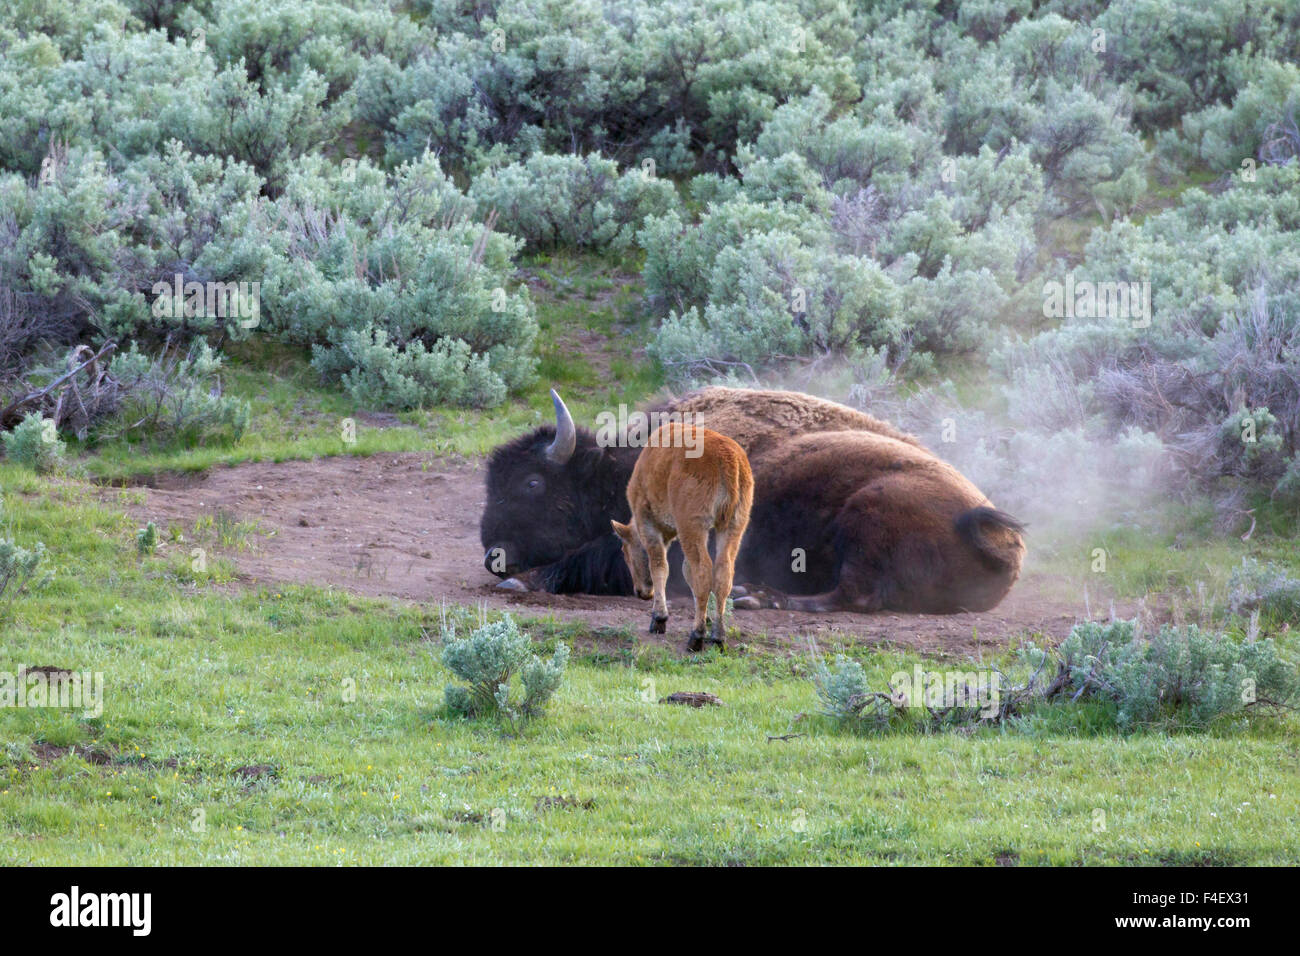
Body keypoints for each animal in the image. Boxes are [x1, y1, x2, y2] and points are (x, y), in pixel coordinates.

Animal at [480, 387, 1025, 613]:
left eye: (532, 483)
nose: (493, 555)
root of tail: (1003, 544)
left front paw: (525, 583)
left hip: (867, 517)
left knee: (855, 595)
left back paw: (758, 597)